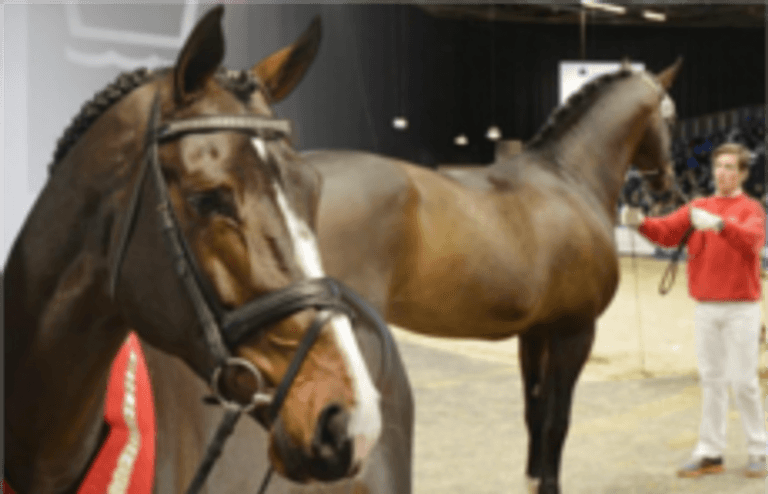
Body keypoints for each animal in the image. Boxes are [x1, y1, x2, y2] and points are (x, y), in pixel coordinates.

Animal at [310, 60, 682, 494]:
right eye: (671, 117)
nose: (667, 183)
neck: (568, 179)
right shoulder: (575, 330)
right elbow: (558, 420)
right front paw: (550, 485)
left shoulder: (536, 332)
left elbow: (535, 409)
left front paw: (533, 476)